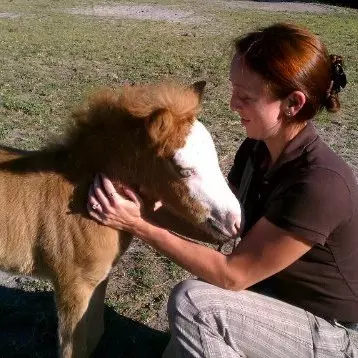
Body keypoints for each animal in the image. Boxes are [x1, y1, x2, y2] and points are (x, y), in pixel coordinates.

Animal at [0, 82, 242, 358]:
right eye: (184, 170)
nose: (235, 221)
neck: (82, 200)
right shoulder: (72, 285)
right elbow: (73, 350)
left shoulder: (97, 279)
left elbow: (94, 335)